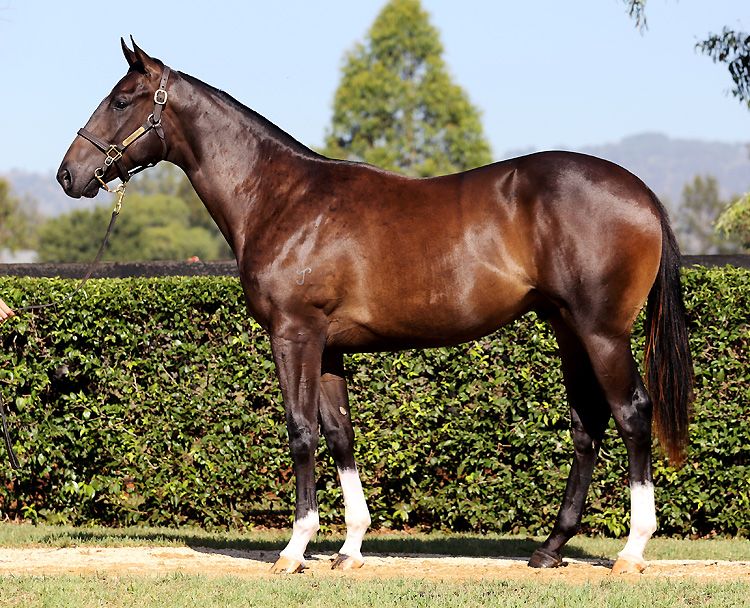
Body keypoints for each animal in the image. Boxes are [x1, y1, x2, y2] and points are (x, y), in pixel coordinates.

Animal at [57, 39, 694, 575]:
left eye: (121, 99)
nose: (69, 174)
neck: (280, 197)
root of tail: (641, 192)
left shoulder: (294, 334)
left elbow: (301, 432)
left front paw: (294, 550)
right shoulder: (329, 346)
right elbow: (341, 435)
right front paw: (350, 548)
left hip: (602, 332)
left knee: (633, 415)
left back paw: (632, 551)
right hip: (567, 329)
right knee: (588, 426)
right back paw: (550, 548)